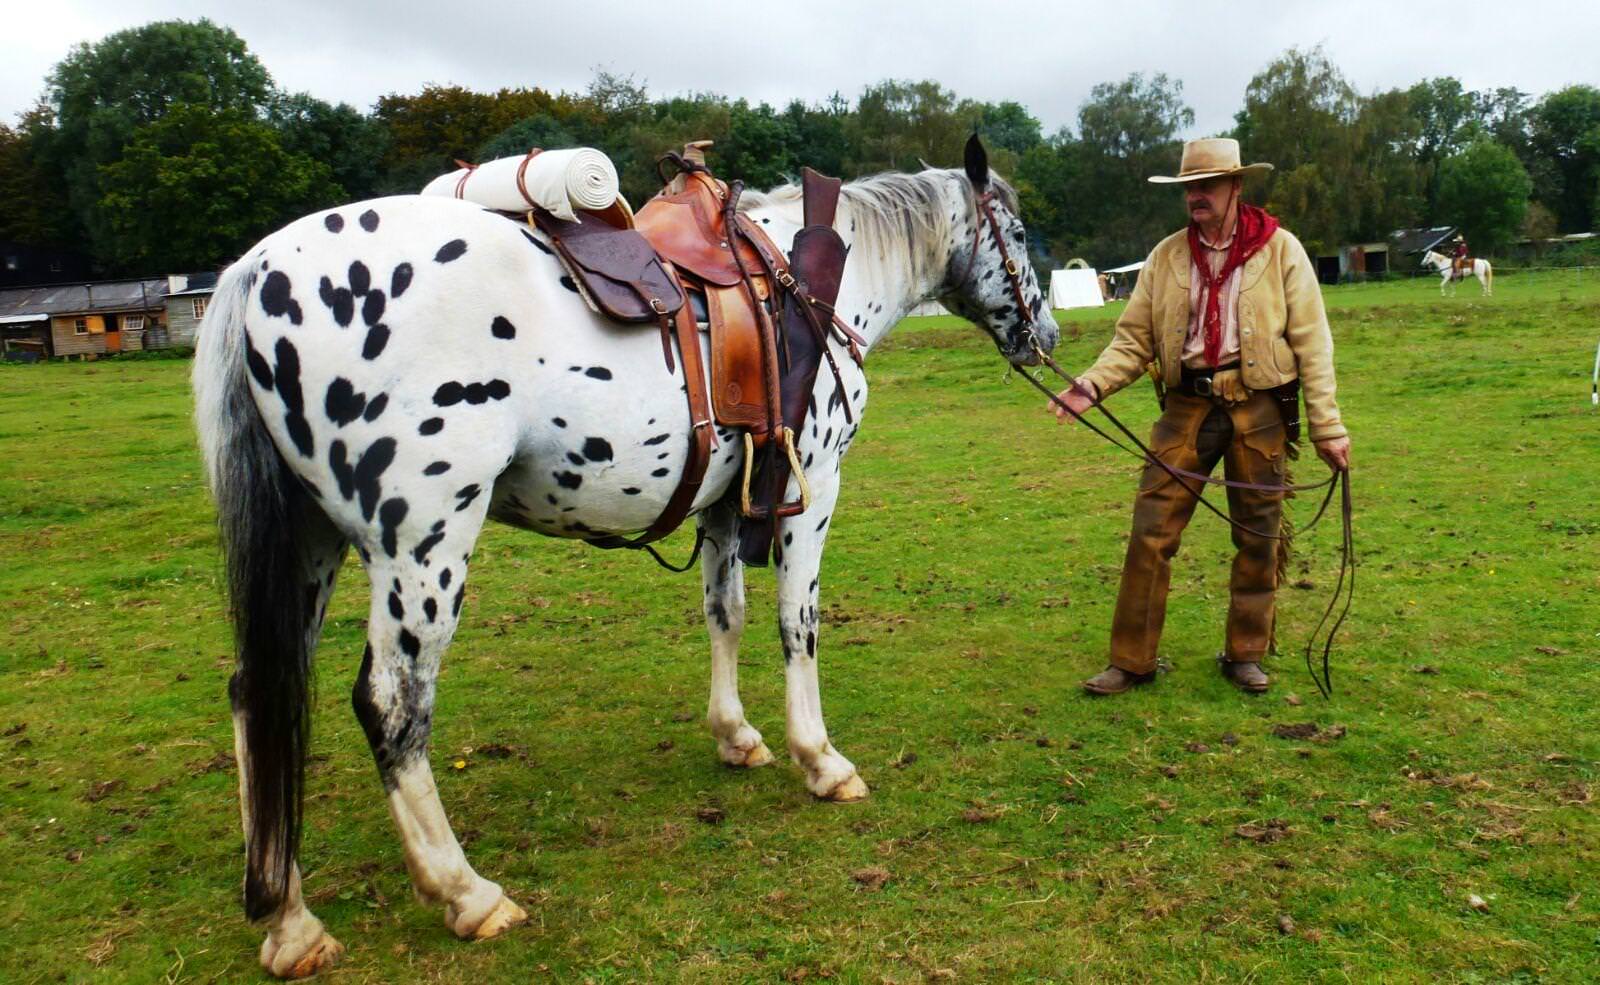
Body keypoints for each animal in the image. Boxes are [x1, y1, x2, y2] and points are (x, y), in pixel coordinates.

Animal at [191, 136, 1056, 977]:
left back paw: (290, 919)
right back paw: (465, 891)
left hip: (310, 543)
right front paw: (820, 759)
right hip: (422, 548)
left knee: (257, 692)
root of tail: (255, 270)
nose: (1044, 335)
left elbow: (726, 614)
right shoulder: (812, 486)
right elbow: (796, 623)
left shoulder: (726, 502)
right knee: (392, 705)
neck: (812, 280)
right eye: (1016, 234)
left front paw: (735, 735)